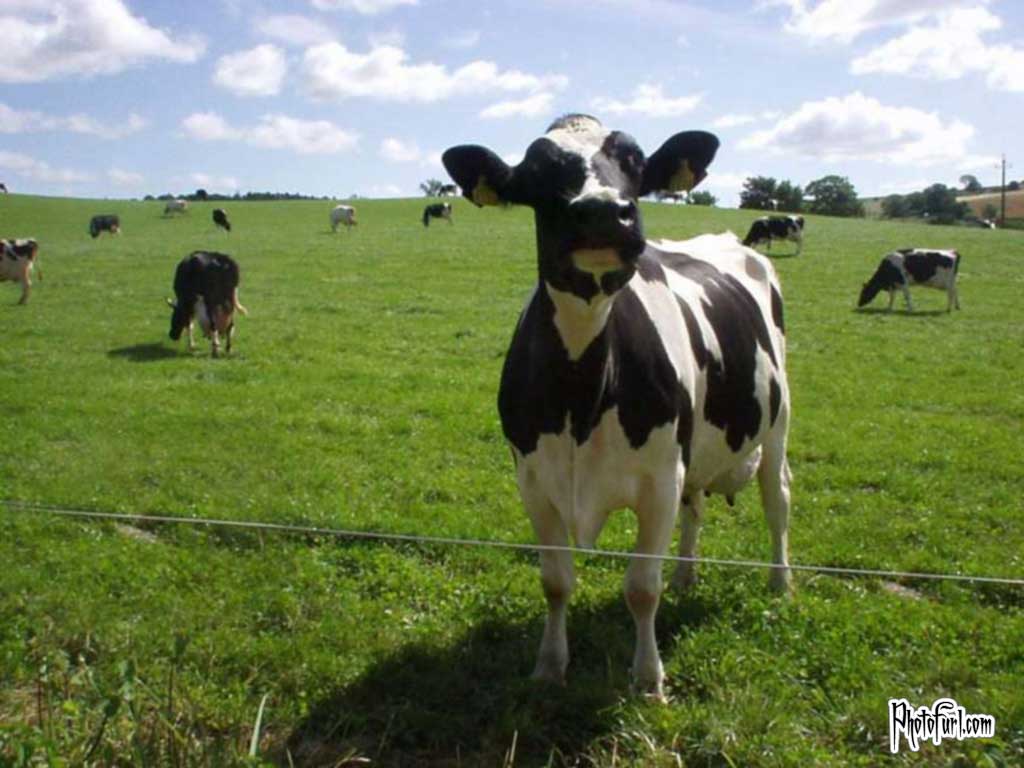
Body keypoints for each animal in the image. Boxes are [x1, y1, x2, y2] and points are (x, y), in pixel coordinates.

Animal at [442, 114, 791, 699]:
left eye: (636, 164)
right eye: (537, 172)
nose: (605, 210)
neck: (580, 399)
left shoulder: (659, 482)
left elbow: (641, 588)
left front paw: (649, 679)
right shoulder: (534, 482)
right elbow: (556, 582)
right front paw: (550, 666)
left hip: (778, 426)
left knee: (777, 501)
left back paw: (780, 582)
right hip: (695, 454)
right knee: (696, 507)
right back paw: (687, 575)